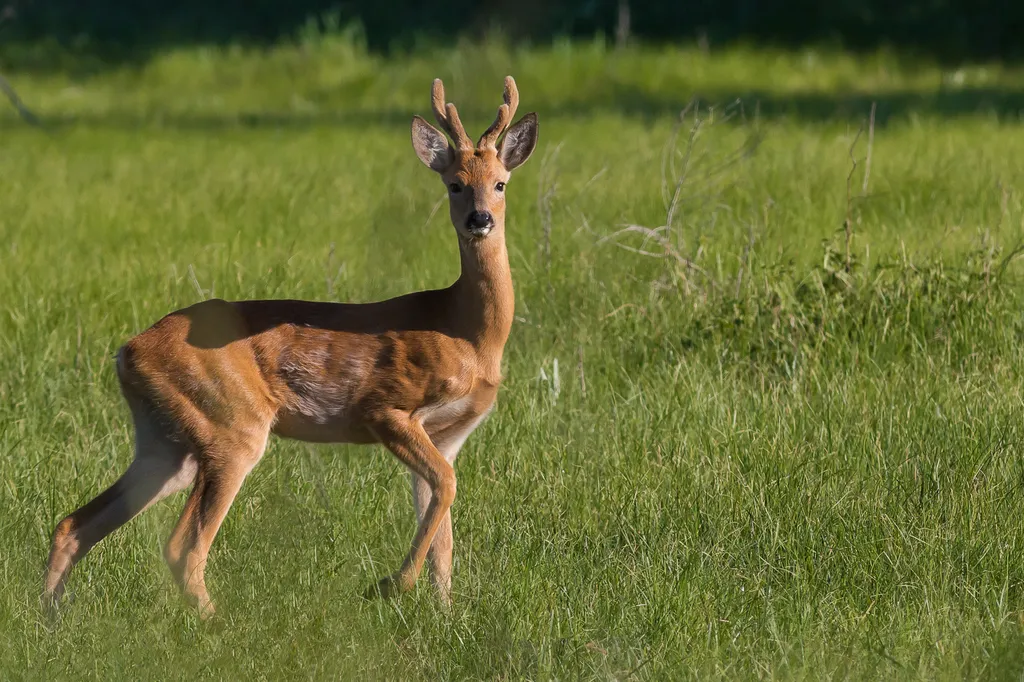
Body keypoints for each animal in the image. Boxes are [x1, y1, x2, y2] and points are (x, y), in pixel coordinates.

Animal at [42, 76, 538, 619]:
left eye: (500, 183)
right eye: (454, 183)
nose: (480, 219)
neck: (466, 331)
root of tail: (127, 351)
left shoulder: (450, 433)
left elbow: (442, 525)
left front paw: (443, 614)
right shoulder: (386, 407)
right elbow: (446, 488)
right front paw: (391, 585)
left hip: (166, 442)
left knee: (73, 524)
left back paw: (49, 618)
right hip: (231, 423)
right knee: (181, 546)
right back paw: (219, 625)